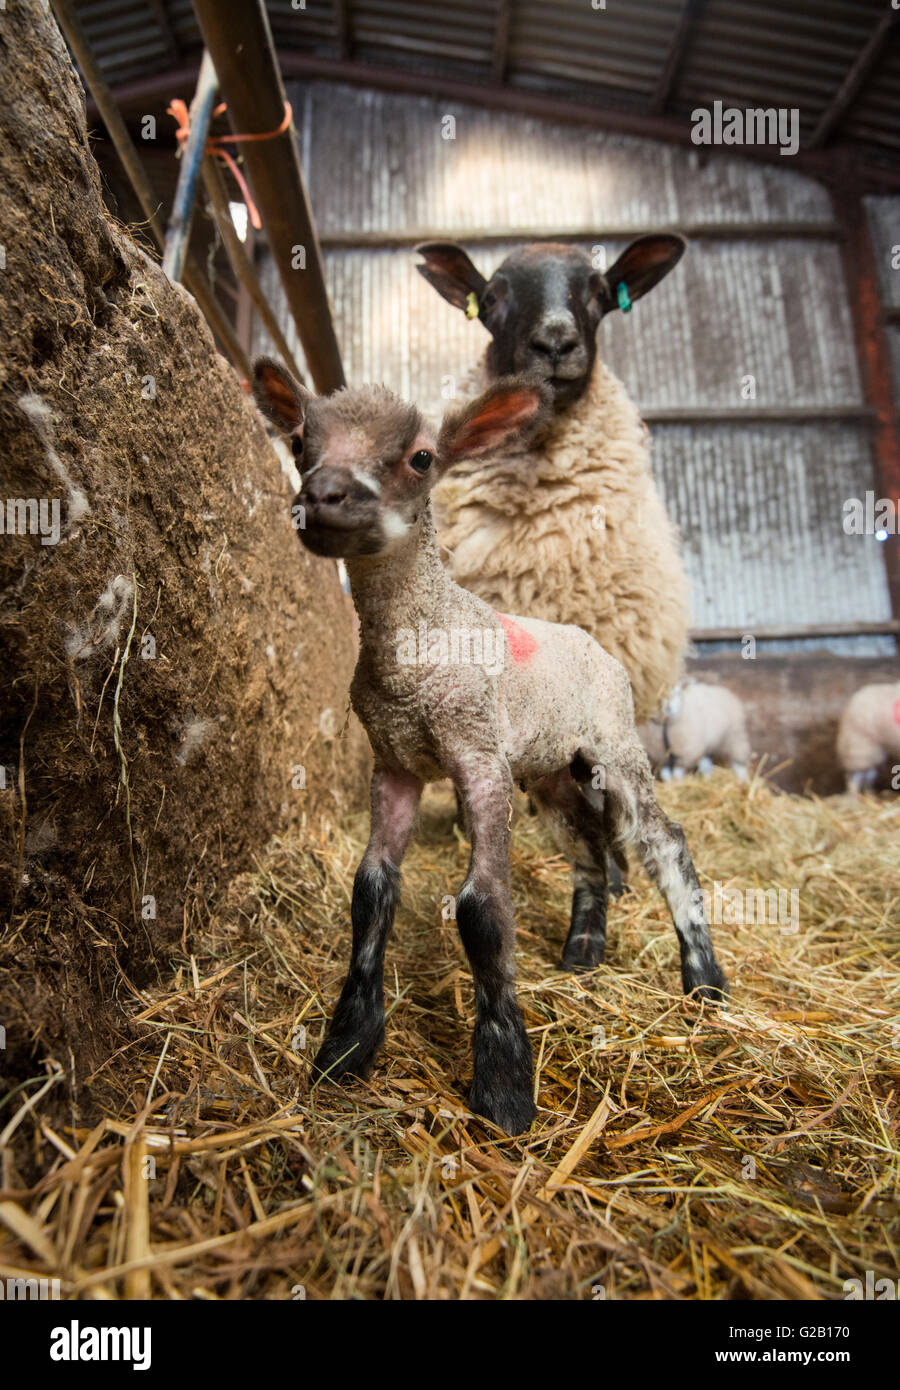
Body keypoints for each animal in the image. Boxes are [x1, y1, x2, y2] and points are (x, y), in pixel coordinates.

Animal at [252, 356, 727, 1136]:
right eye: (299, 443)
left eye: (421, 457)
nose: (322, 497)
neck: (417, 645)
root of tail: (590, 640)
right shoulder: (396, 764)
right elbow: (371, 889)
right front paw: (346, 1046)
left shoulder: (477, 757)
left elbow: (483, 906)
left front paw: (504, 1086)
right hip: (553, 768)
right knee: (588, 847)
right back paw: (582, 954)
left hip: (614, 741)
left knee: (664, 841)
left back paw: (705, 981)